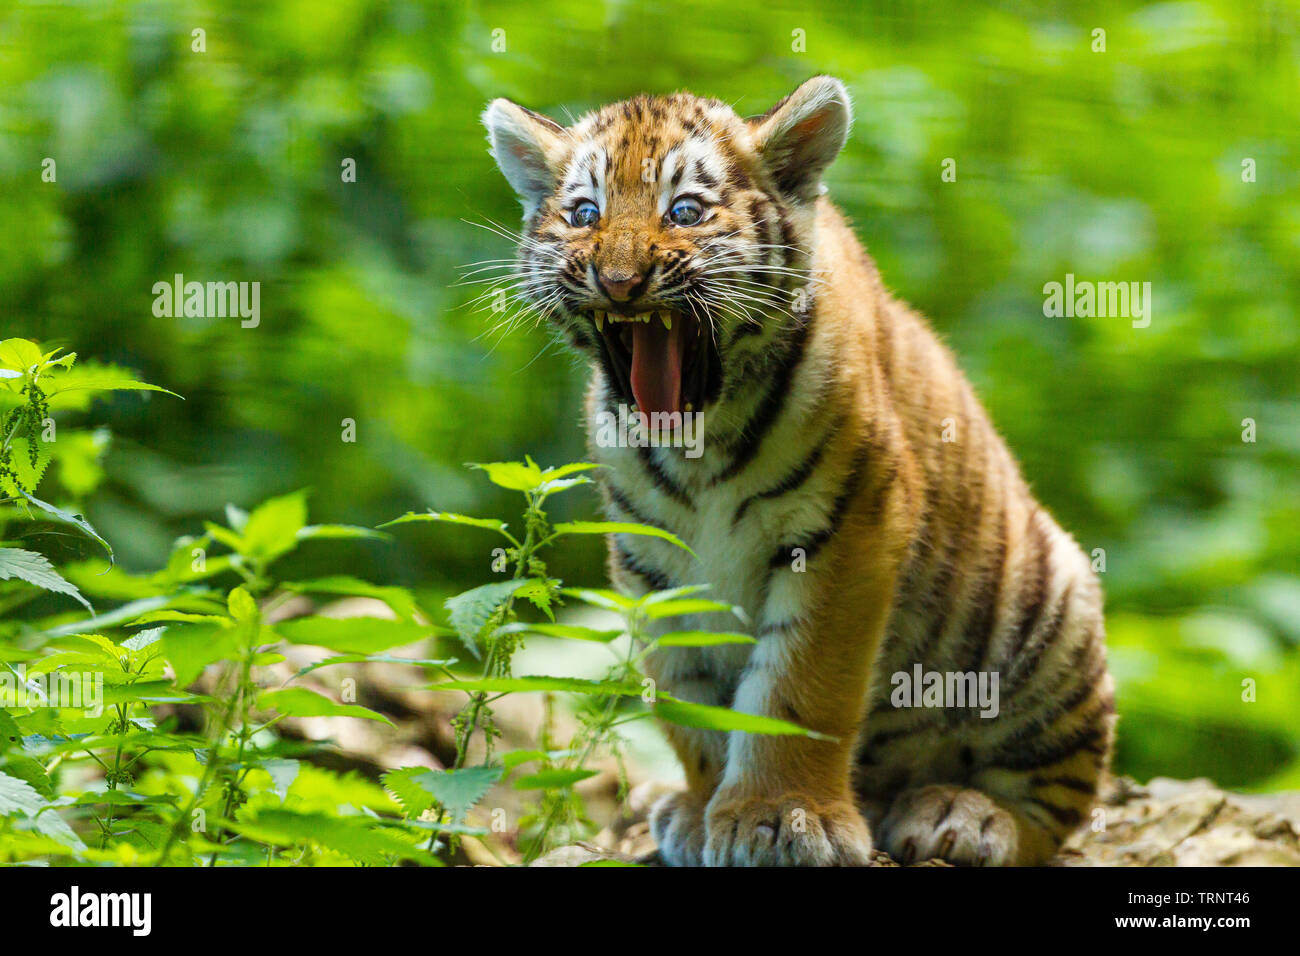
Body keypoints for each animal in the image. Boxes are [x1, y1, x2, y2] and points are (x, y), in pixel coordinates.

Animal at [480, 75, 1115, 866]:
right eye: (584, 214)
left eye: (685, 211)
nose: (619, 281)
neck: (698, 449)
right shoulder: (653, 565)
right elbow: (690, 698)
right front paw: (701, 810)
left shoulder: (848, 533)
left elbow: (799, 689)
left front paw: (782, 816)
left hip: (1054, 604)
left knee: (1057, 803)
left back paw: (967, 815)